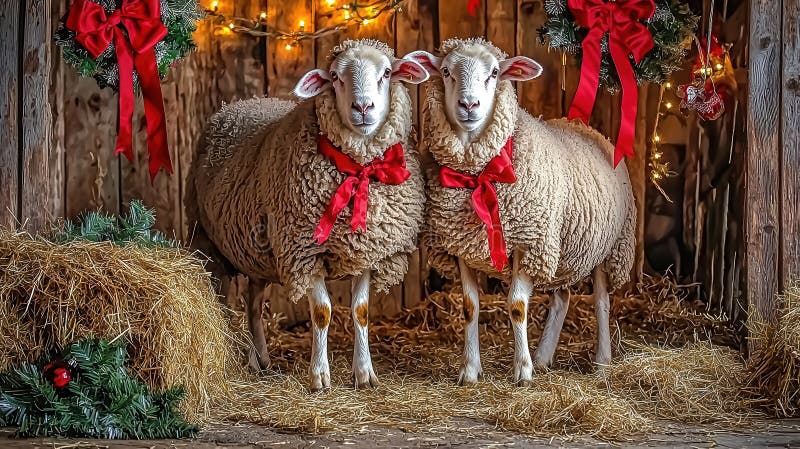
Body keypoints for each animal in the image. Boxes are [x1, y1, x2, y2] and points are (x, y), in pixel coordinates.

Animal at [190, 39, 429, 390]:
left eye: (387, 72)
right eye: (336, 77)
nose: (363, 108)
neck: (356, 169)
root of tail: (239, 103)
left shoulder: (367, 251)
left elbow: (360, 311)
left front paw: (364, 374)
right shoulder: (304, 250)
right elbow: (322, 313)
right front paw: (319, 376)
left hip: (257, 254)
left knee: (253, 305)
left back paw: (261, 360)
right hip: (208, 241)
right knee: (221, 302)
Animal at [406, 38, 635, 386]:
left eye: (494, 73)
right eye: (445, 71)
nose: (469, 105)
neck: (477, 174)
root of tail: (585, 127)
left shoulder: (528, 243)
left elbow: (516, 306)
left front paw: (523, 371)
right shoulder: (461, 248)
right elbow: (470, 307)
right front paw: (470, 370)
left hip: (608, 245)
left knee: (601, 301)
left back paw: (601, 361)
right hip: (564, 246)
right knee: (562, 298)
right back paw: (544, 357)